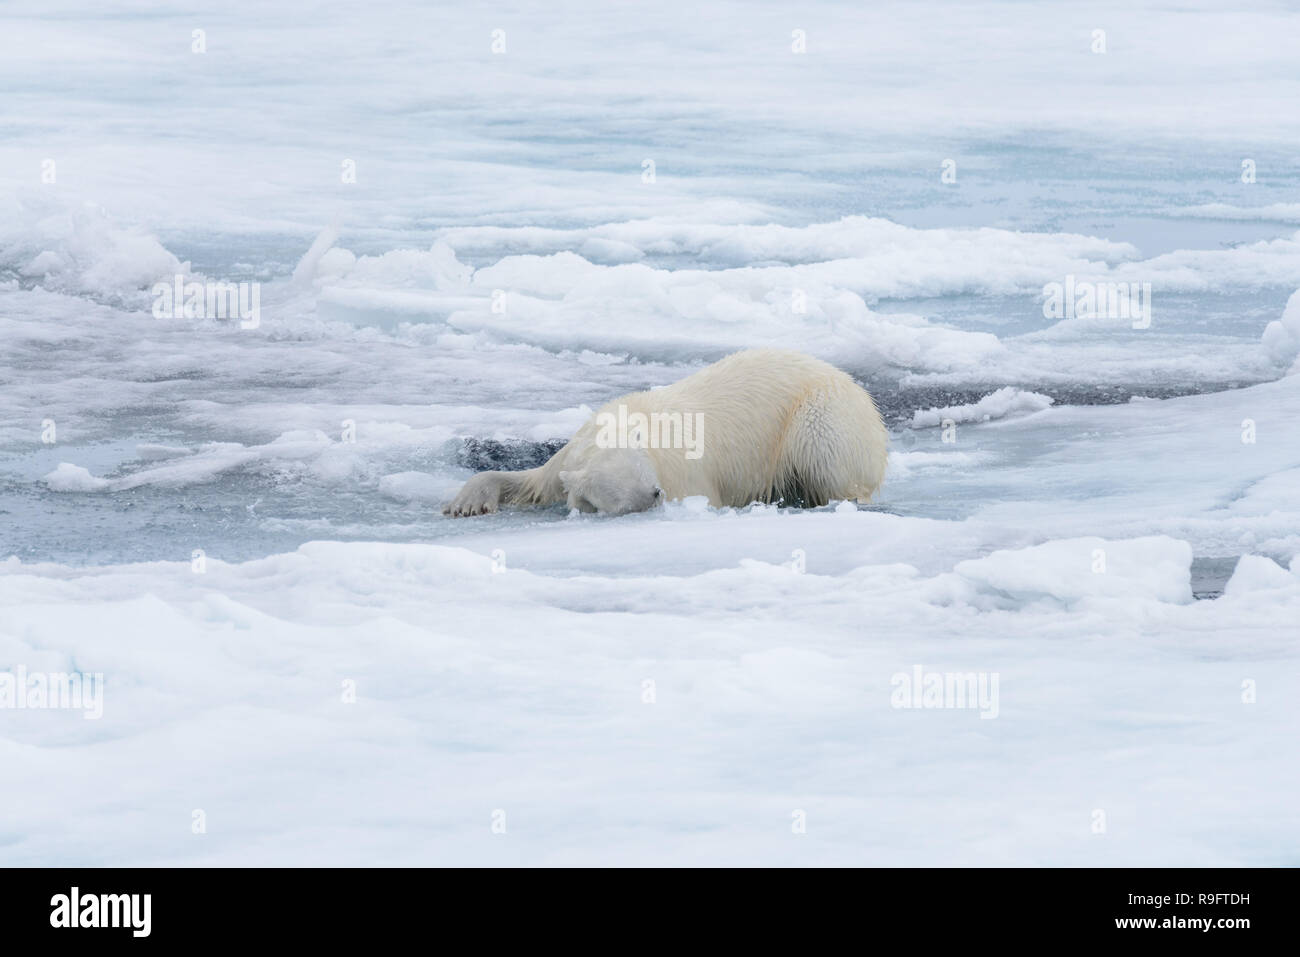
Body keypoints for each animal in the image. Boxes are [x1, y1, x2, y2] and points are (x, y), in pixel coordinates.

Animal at [442, 348, 889, 517]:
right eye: (628, 497)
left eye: (654, 488)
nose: (656, 499)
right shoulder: (567, 457)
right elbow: (534, 482)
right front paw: (467, 502)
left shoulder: (683, 471)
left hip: (822, 415)